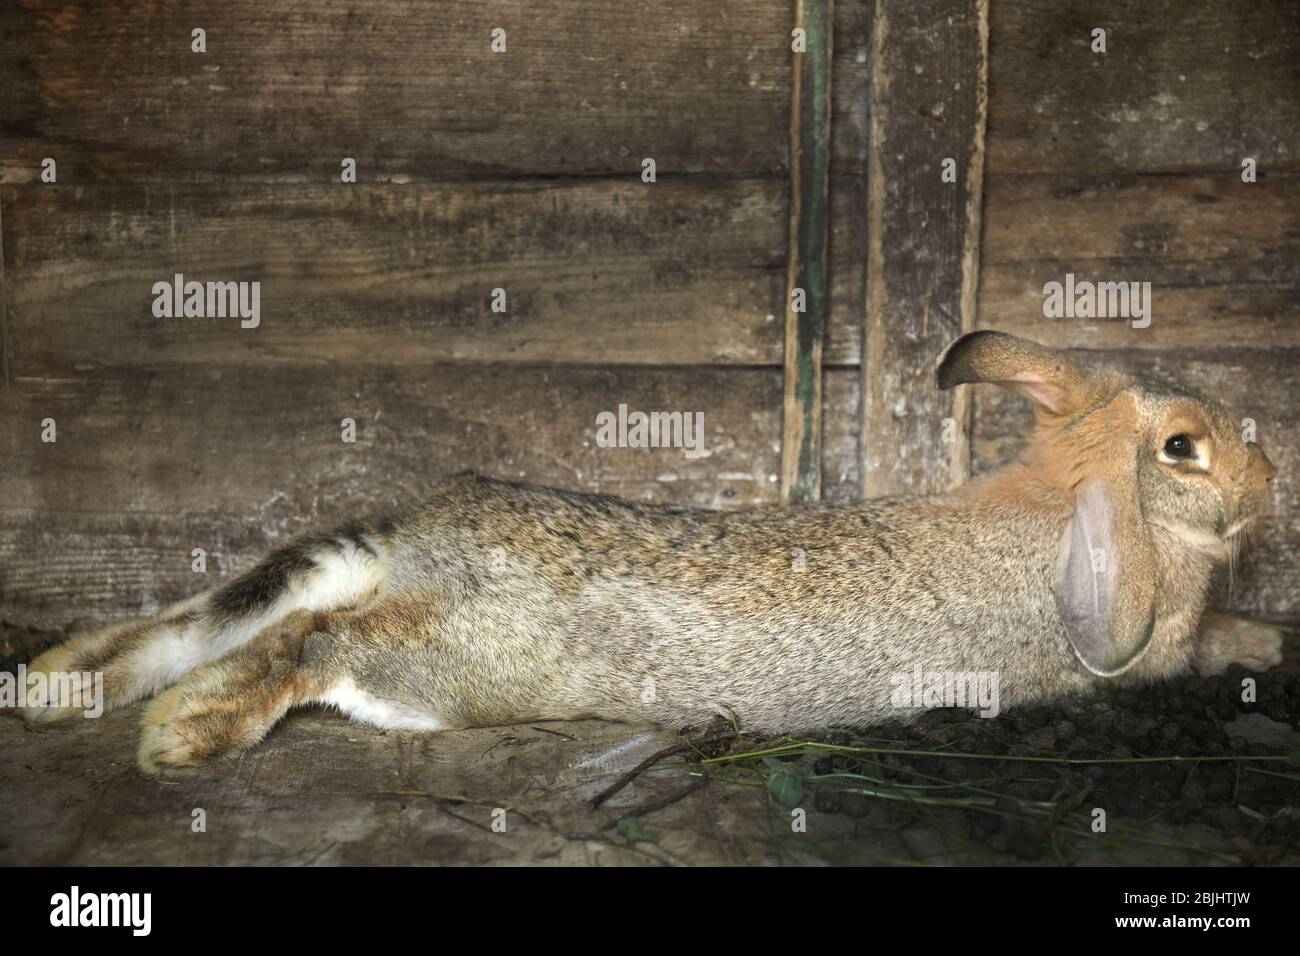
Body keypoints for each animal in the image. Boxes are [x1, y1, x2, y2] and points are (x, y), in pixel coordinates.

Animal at [19, 331, 1284, 775]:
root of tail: (428, 539)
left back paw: (52, 686)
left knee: (235, 612)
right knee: (313, 642)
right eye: (1182, 448)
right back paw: (182, 736)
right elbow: (1205, 641)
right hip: (448, 663)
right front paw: (1265, 635)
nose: (1272, 479)